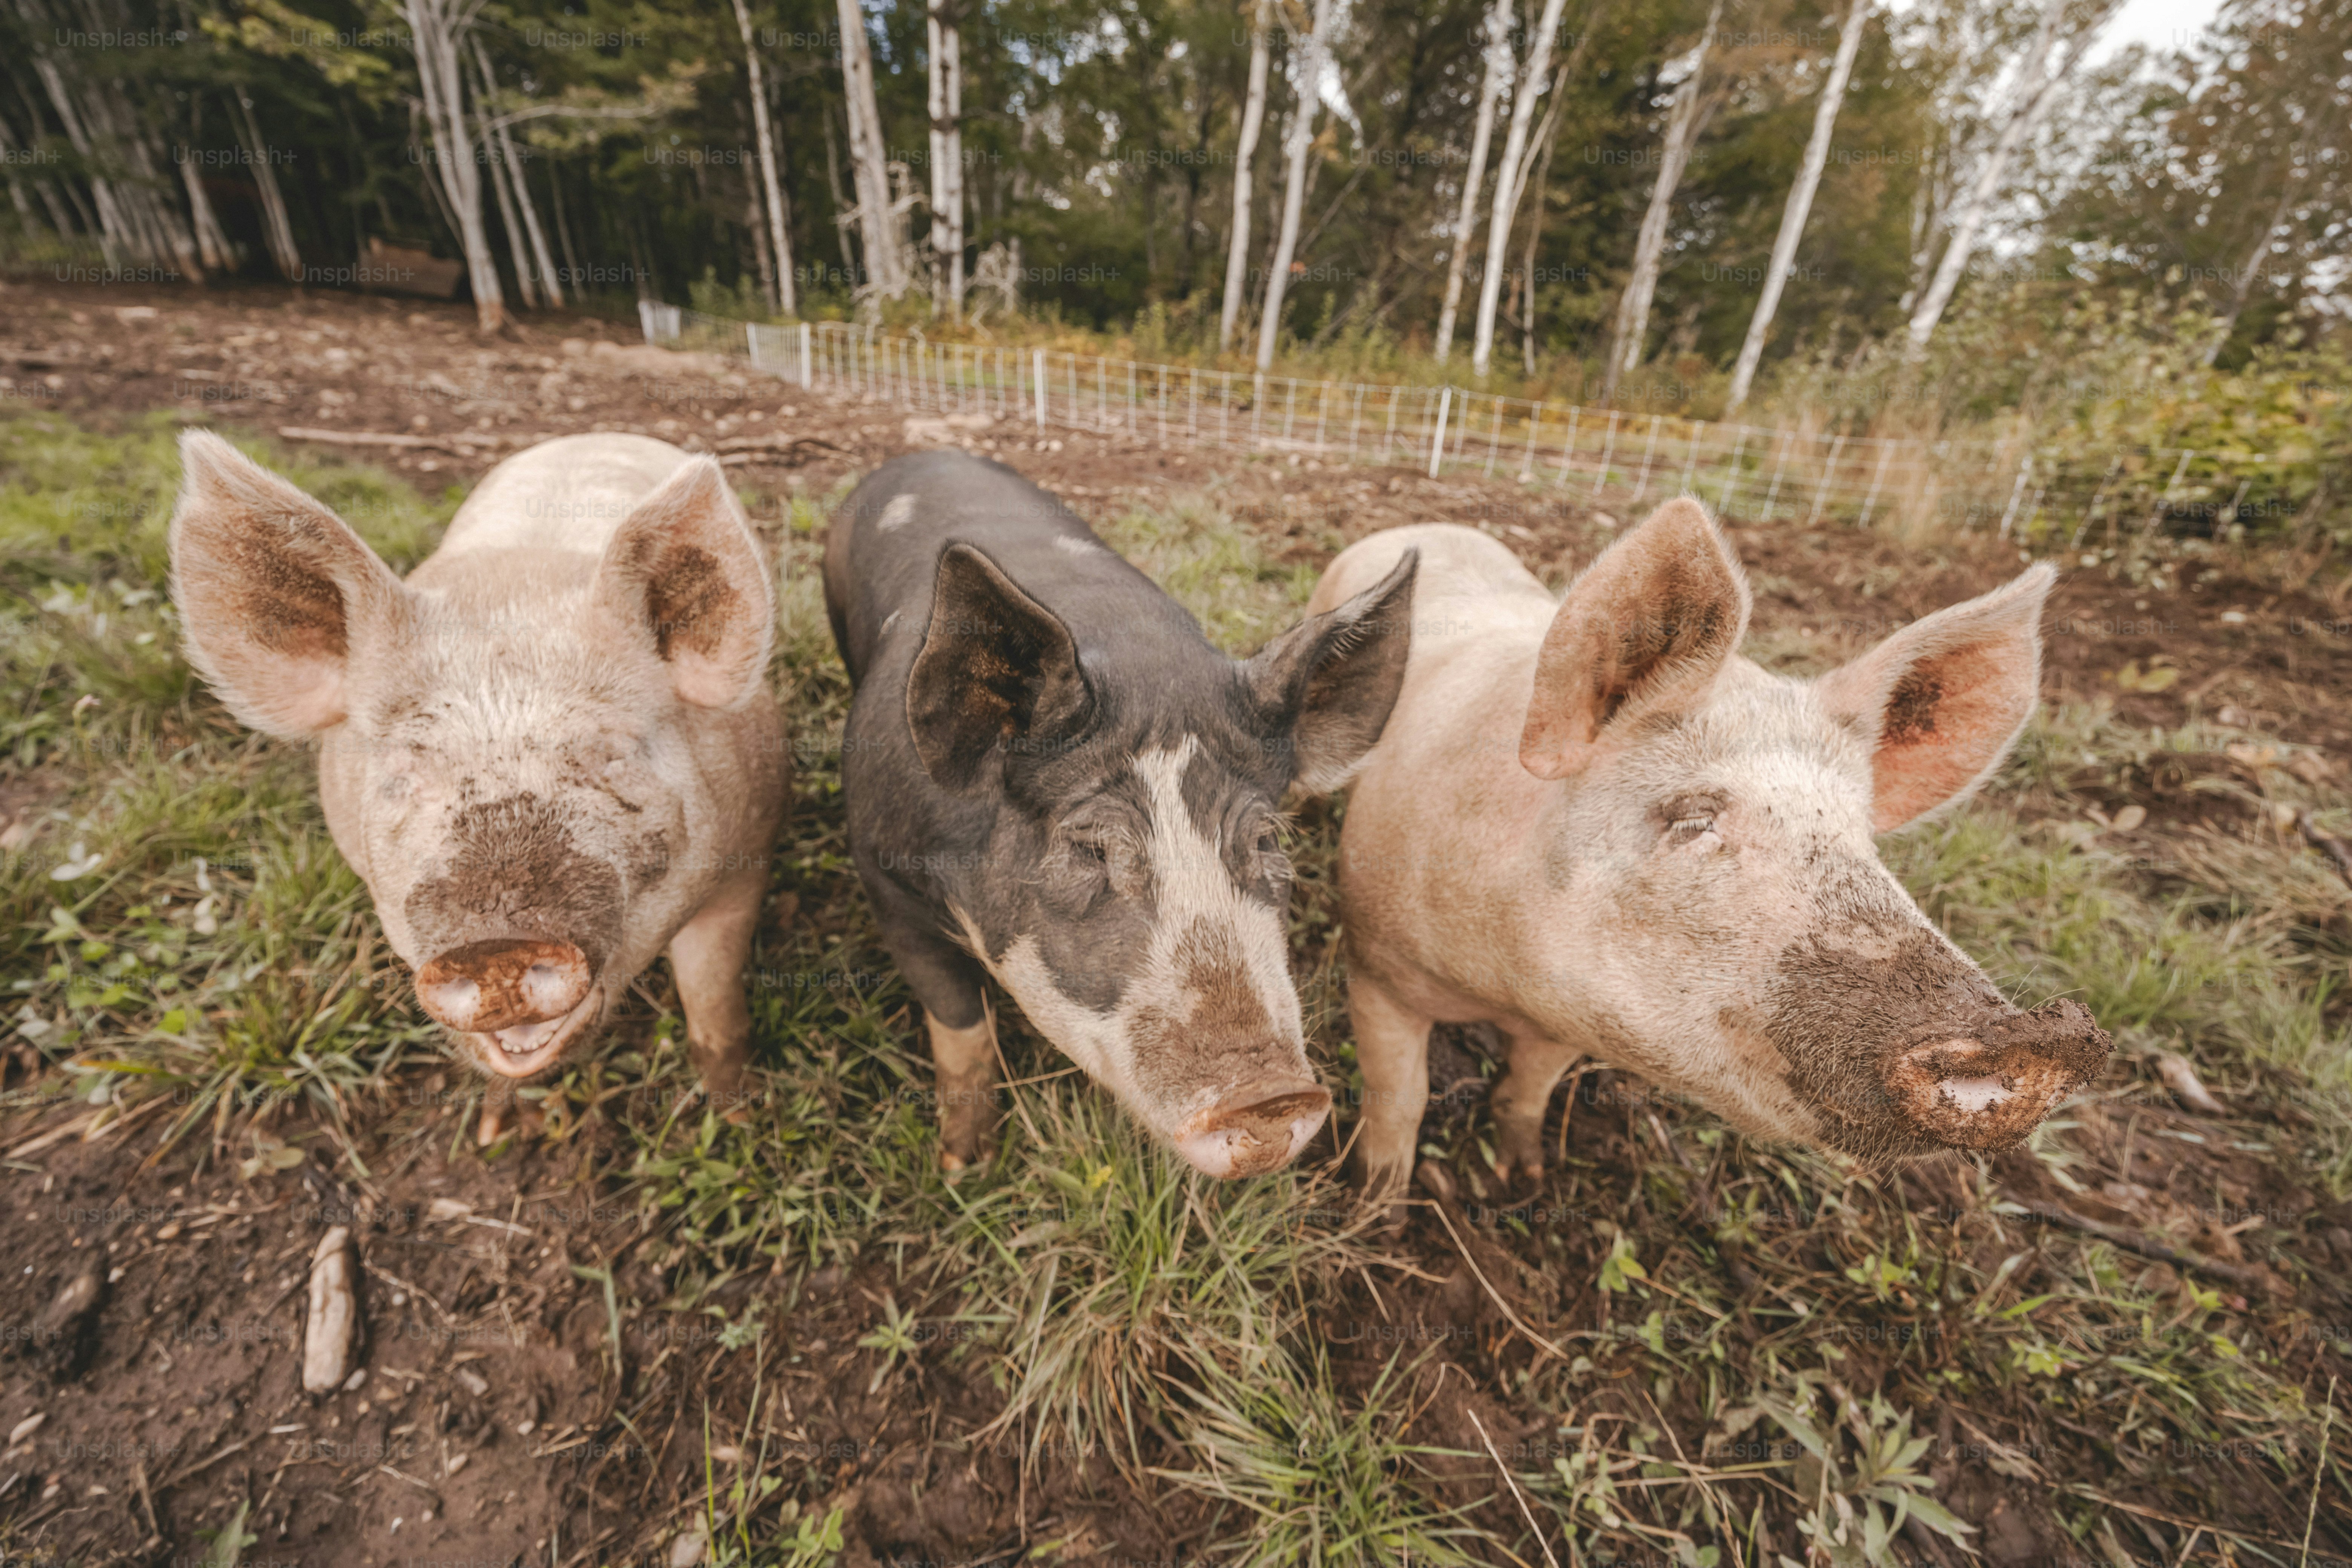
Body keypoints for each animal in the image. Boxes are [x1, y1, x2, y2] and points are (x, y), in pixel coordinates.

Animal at [169, 431, 785, 1143]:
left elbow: (713, 997)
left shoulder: (748, 853)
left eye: (612, 754)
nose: (495, 949)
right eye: (403, 771)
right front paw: (495, 1133)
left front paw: (739, 1119)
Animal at [823, 450, 1418, 1178]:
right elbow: (960, 1025)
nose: (1271, 1098)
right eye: (1089, 850)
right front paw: (965, 1166)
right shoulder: (884, 877)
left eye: (1265, 840)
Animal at [1305, 501, 2110, 1204]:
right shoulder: (1377, 962)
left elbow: (1526, 1092)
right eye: (1693, 820)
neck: (1501, 988)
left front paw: (1523, 1180)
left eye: (1862, 837)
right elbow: (1400, 1099)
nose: (2044, 1035)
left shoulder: (1568, 1020)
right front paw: (1378, 1208)